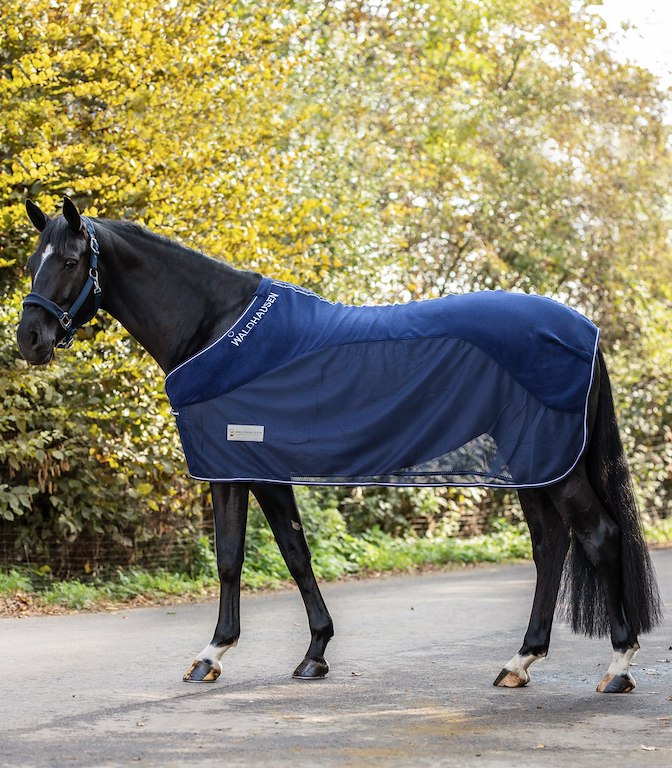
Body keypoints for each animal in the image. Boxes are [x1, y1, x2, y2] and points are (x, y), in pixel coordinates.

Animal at [17, 198, 660, 688]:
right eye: (30, 262)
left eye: (70, 260)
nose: (30, 339)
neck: (215, 328)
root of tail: (584, 330)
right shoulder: (253, 469)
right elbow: (281, 553)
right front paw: (307, 653)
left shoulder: (235, 465)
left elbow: (239, 557)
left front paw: (219, 654)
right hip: (535, 465)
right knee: (551, 545)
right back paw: (520, 662)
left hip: (554, 465)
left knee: (597, 536)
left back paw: (618, 667)